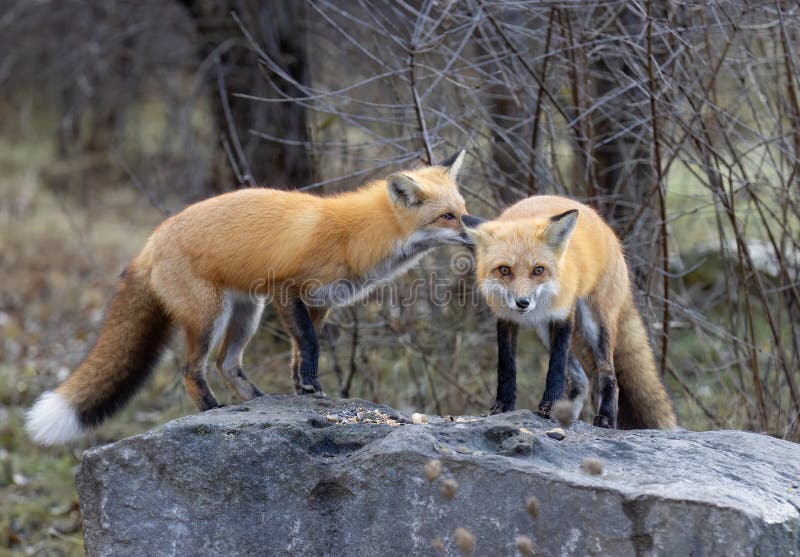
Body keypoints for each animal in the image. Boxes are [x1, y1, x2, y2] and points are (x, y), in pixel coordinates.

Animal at [26, 151, 471, 445]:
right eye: (447, 217)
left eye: (463, 210)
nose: (476, 232)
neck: (354, 236)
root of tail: (151, 242)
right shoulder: (286, 290)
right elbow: (309, 345)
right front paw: (308, 387)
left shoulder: (320, 304)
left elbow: (299, 353)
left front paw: (305, 390)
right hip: (211, 316)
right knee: (191, 370)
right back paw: (212, 411)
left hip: (247, 314)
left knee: (228, 363)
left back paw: (256, 402)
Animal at [462, 195, 676, 429]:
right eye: (504, 270)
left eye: (538, 270)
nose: (522, 303)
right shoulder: (506, 319)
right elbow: (506, 368)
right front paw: (503, 407)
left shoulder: (563, 317)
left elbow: (555, 368)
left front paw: (548, 407)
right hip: (544, 331)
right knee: (582, 380)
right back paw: (569, 414)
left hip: (594, 325)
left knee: (609, 374)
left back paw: (606, 418)